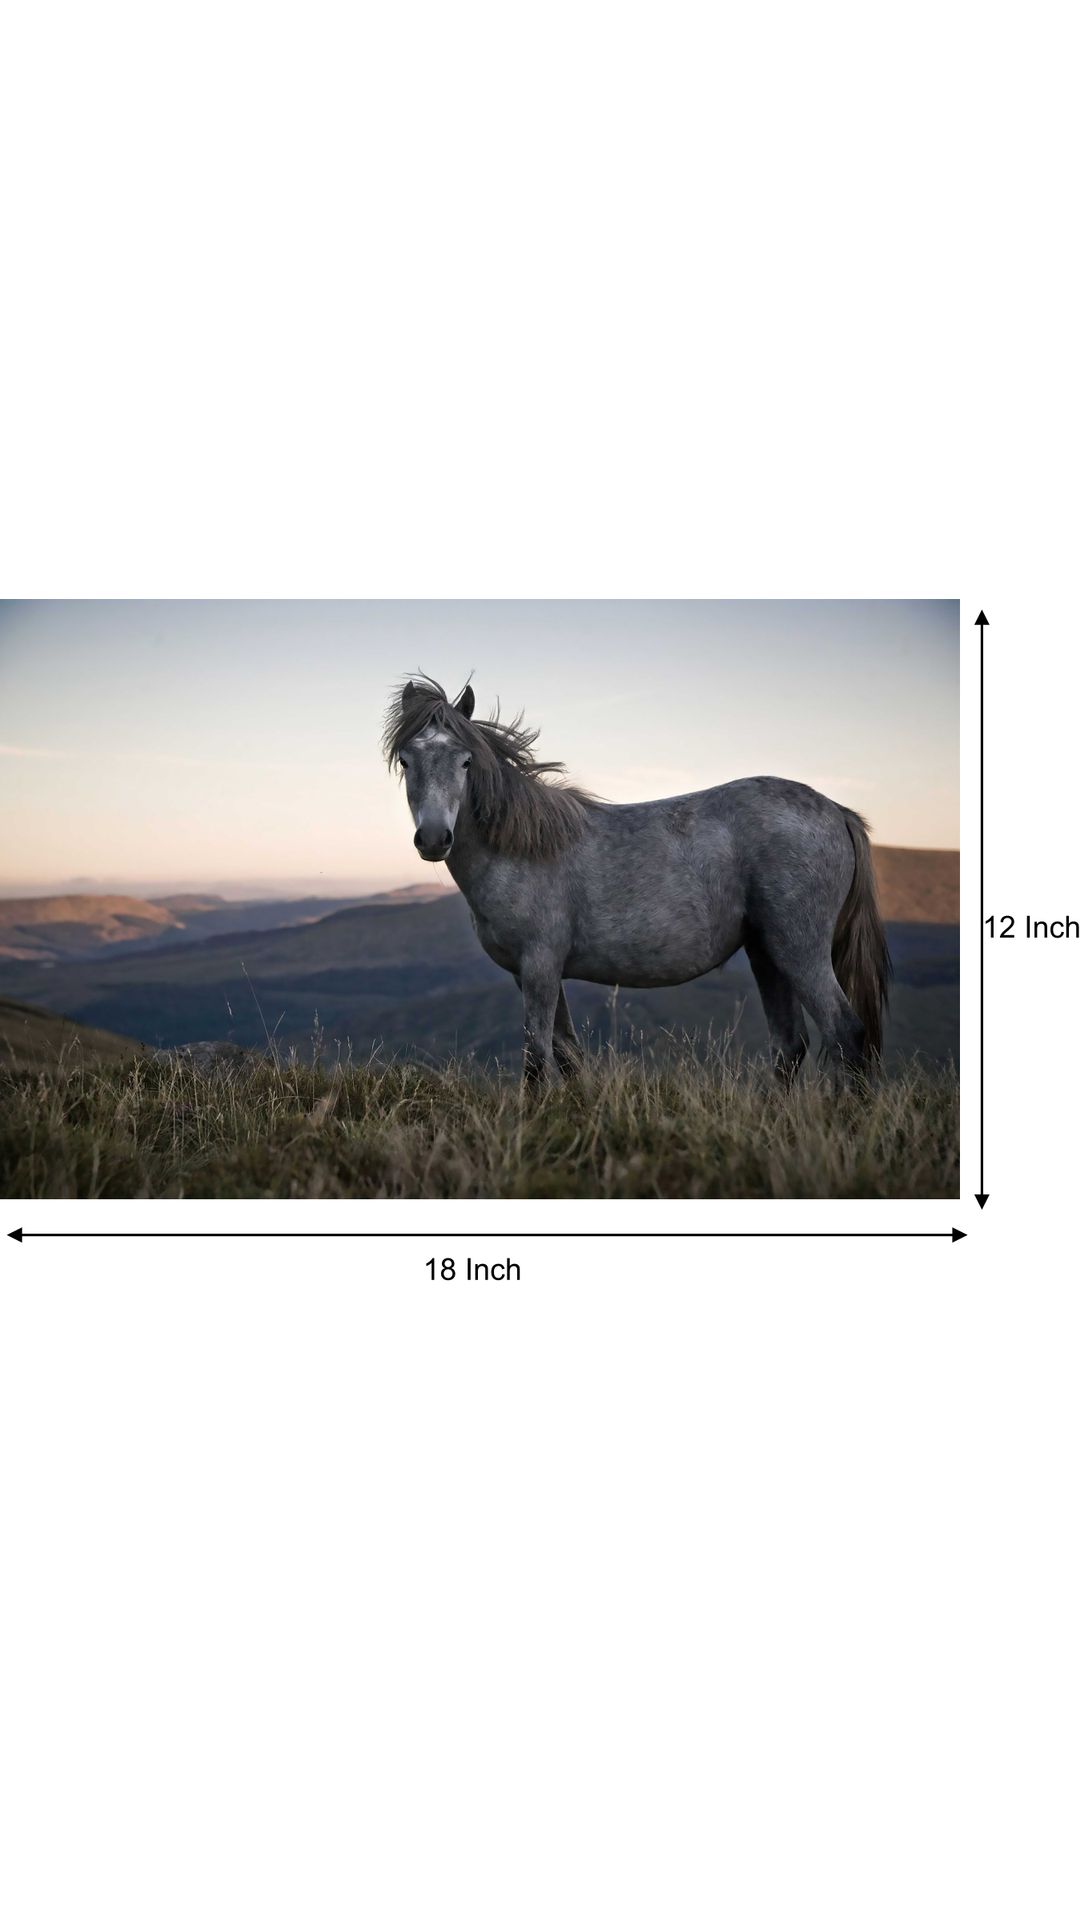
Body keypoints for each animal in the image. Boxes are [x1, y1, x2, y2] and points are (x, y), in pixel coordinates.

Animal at [383, 676, 891, 1086]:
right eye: (406, 760)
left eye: (465, 761)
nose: (434, 838)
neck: (522, 849)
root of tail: (837, 812)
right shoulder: (531, 973)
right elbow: (567, 1056)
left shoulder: (540, 966)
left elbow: (537, 1061)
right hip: (767, 953)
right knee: (790, 1046)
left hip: (799, 950)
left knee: (845, 1033)